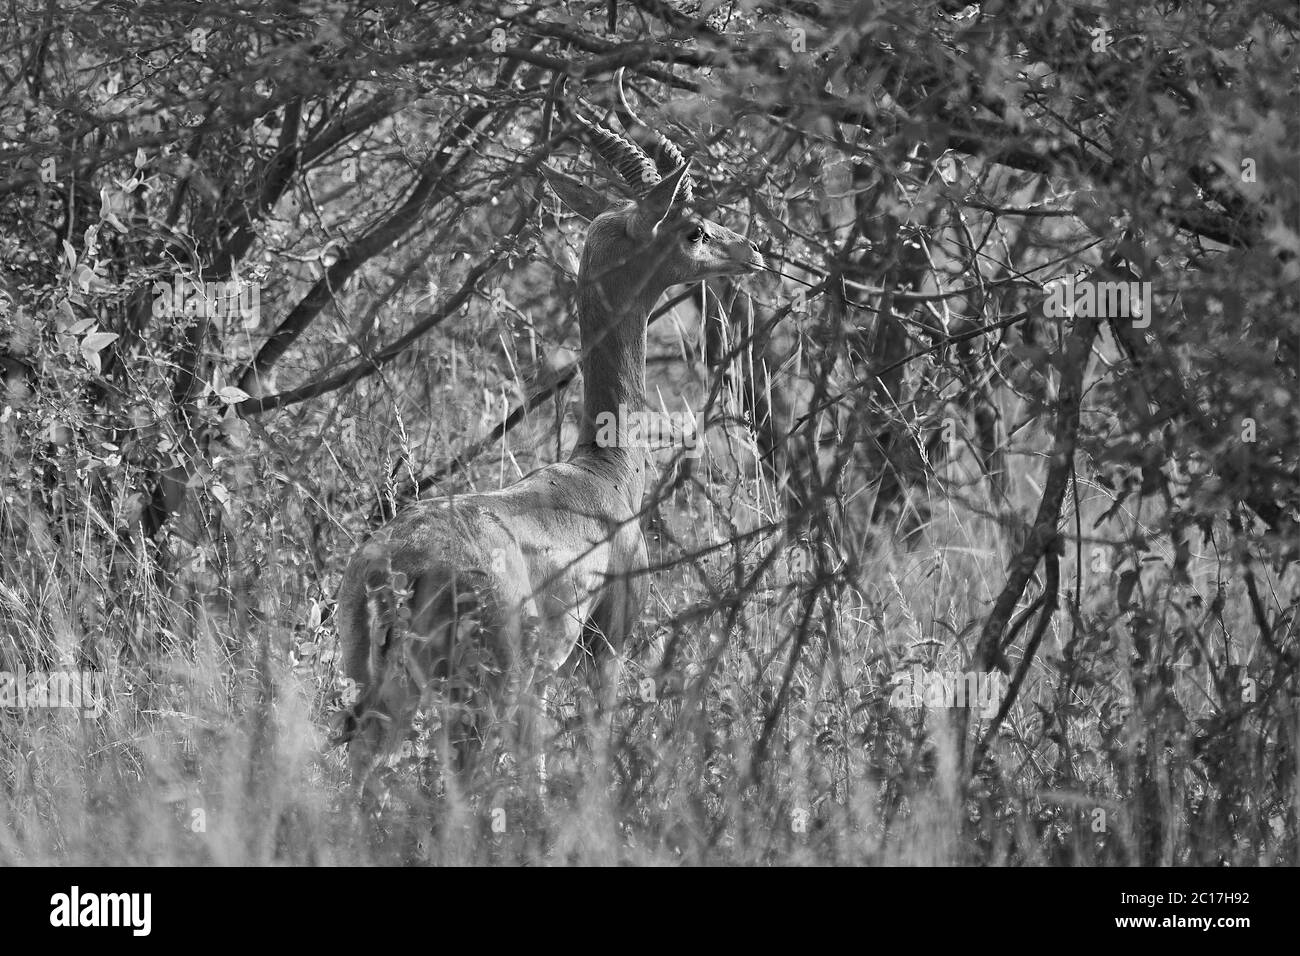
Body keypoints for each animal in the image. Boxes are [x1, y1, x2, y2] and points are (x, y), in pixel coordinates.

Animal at [336, 76, 763, 785]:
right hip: (482, 693)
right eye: (693, 228)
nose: (749, 250)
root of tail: (394, 566)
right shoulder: (606, 652)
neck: (602, 475)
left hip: (389, 693)